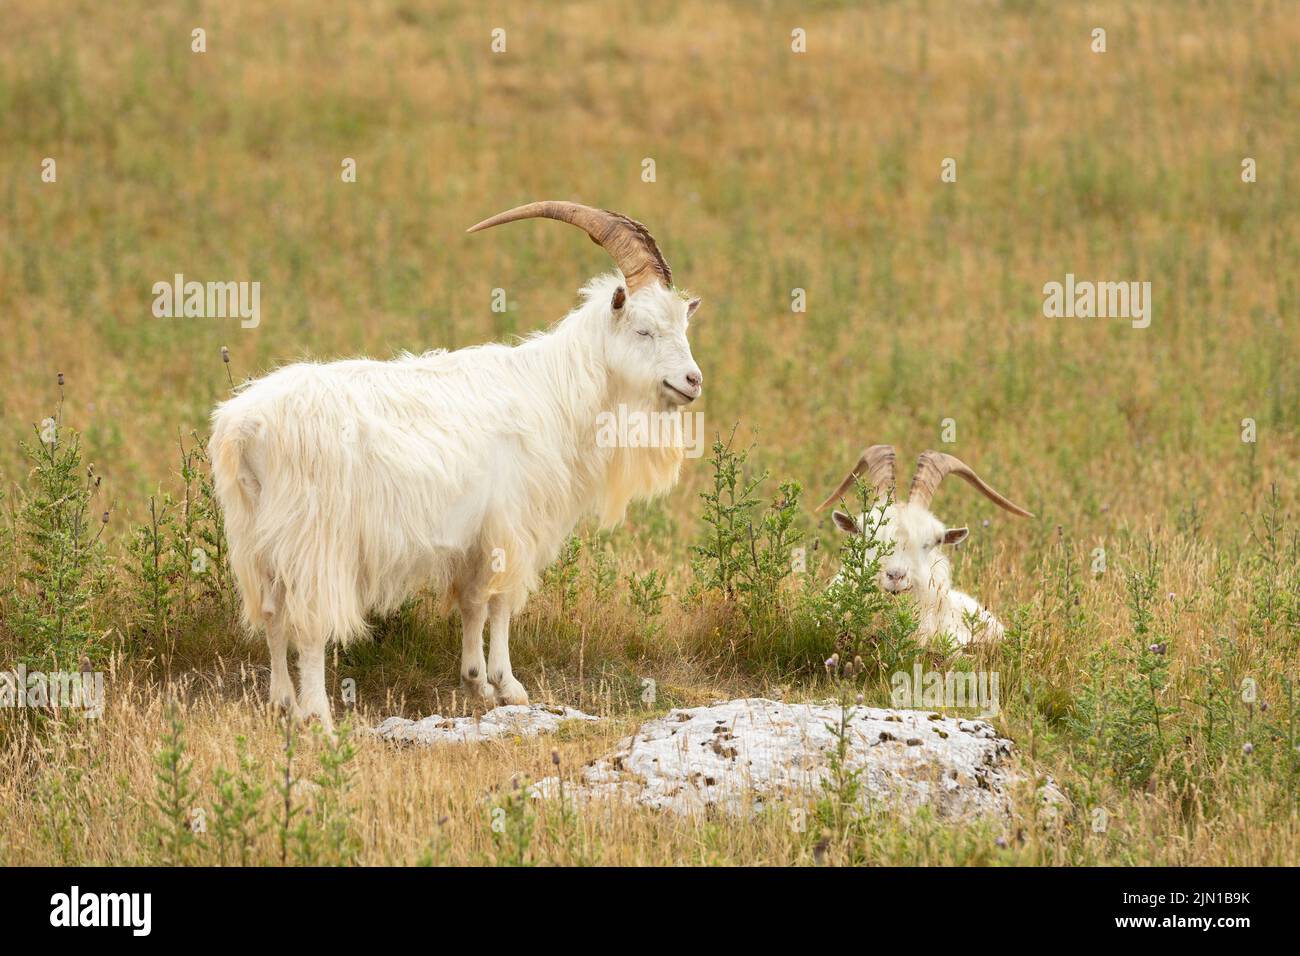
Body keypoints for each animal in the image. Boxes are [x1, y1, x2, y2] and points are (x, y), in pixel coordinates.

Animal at [209, 202, 703, 729]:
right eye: (643, 329)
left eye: (683, 326)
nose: (692, 381)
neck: (554, 389)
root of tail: (245, 429)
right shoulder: (514, 523)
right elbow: (502, 601)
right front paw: (509, 687)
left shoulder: (474, 535)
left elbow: (472, 602)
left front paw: (475, 683)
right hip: (314, 540)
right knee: (307, 622)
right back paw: (317, 716)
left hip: (255, 539)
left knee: (271, 614)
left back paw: (281, 703)